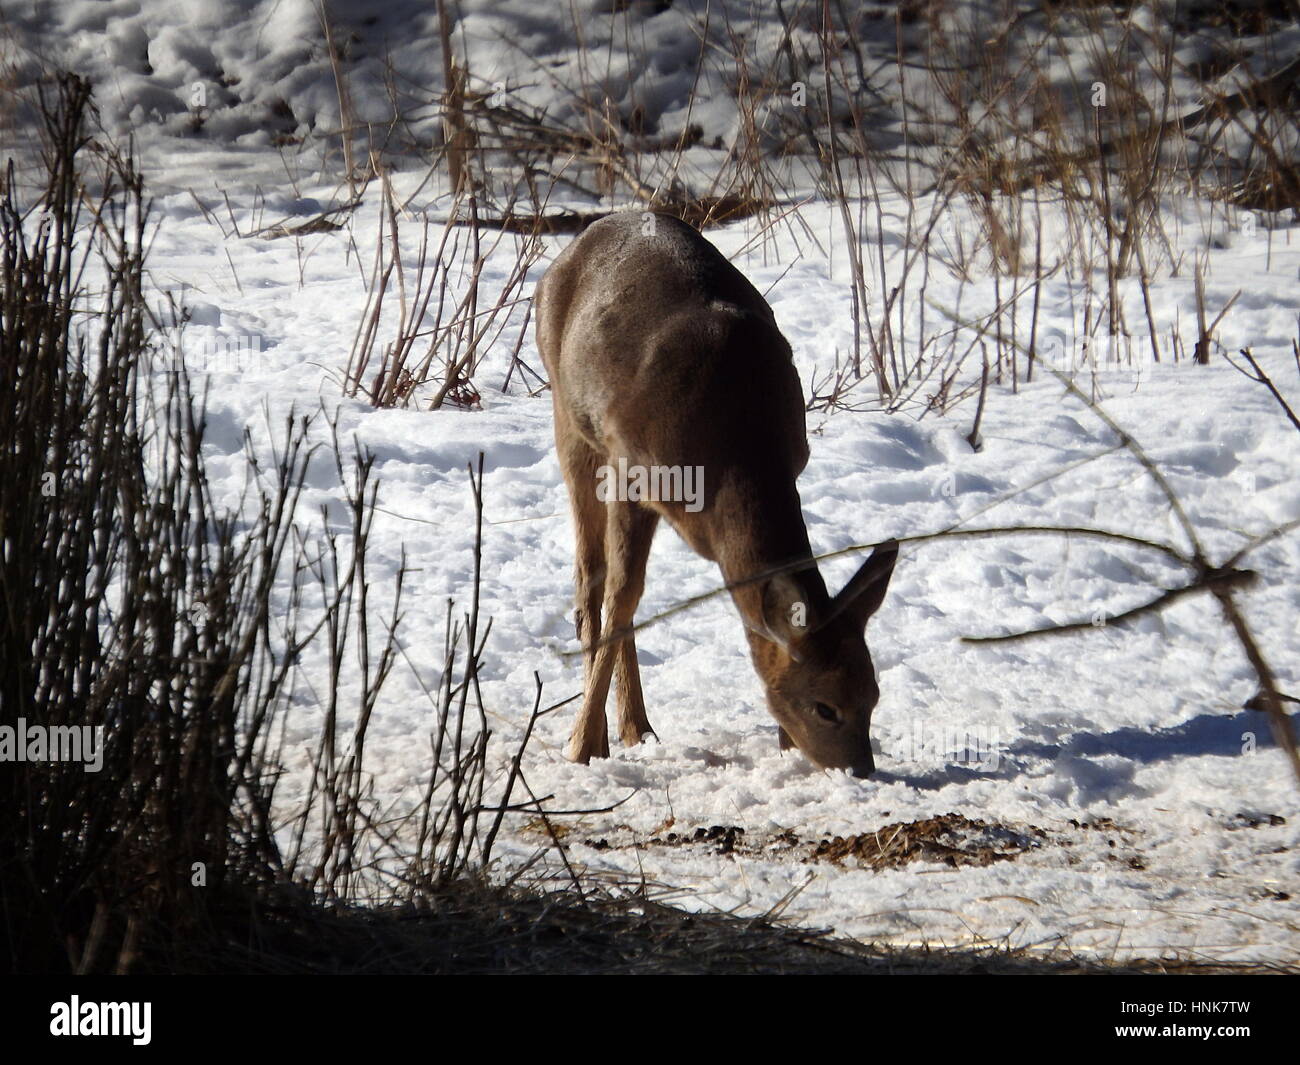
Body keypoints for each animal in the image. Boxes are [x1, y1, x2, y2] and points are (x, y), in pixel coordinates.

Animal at [534, 211, 898, 778]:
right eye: (825, 707)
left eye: (874, 695)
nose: (860, 770)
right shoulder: (631, 469)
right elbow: (622, 593)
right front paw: (583, 745)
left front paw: (784, 747)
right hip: (570, 422)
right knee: (591, 579)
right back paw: (614, 728)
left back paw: (638, 728)